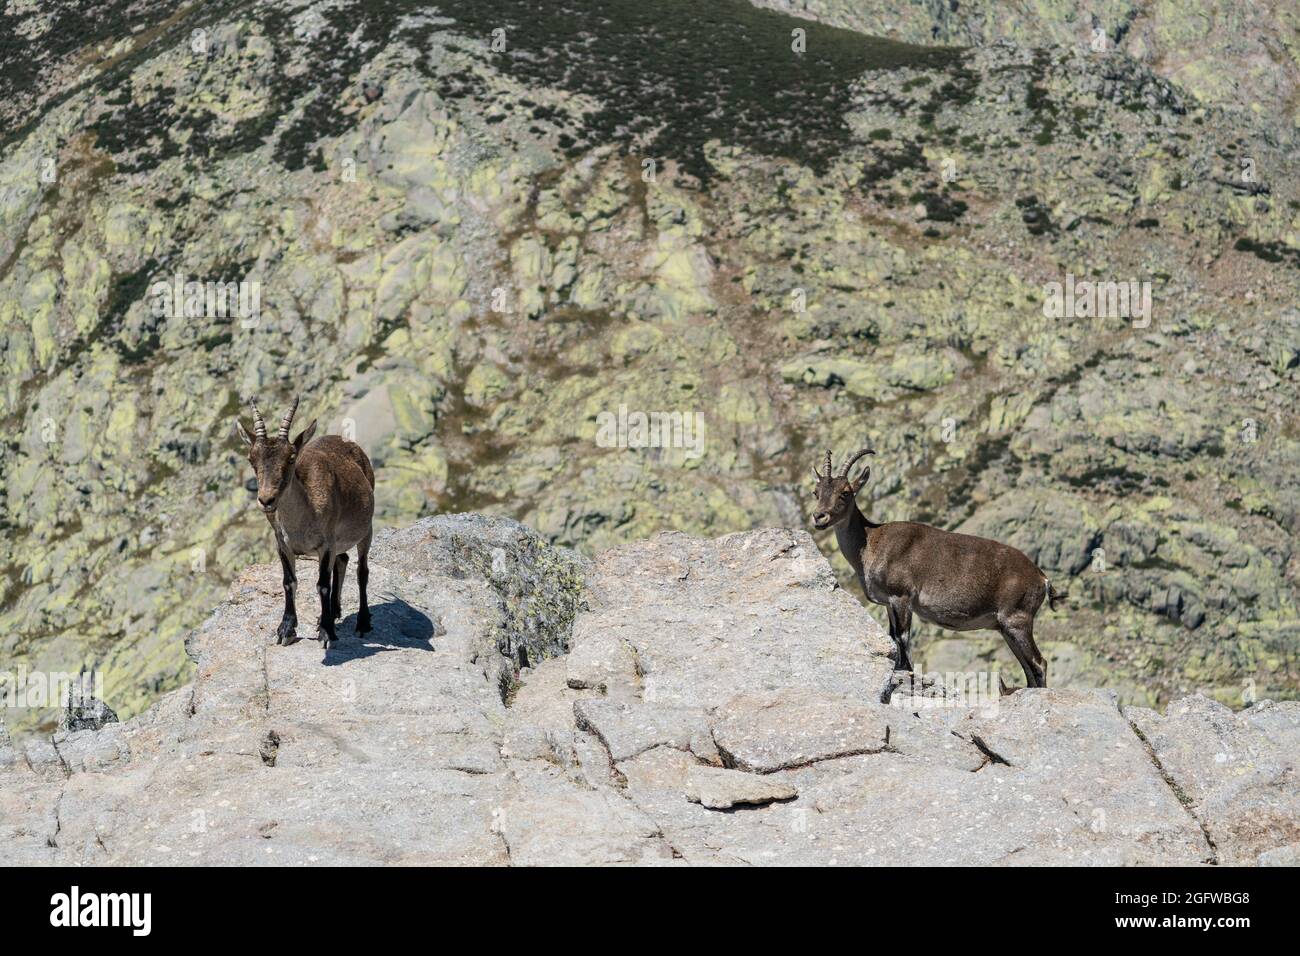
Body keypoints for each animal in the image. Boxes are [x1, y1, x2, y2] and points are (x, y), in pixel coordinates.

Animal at [235, 398, 376, 650]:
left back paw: (361, 622)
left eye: (291, 458)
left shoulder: (326, 544)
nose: (267, 500)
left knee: (362, 570)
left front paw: (327, 633)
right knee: (342, 560)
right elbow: (289, 582)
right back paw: (333, 612)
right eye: (252, 459)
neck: (300, 522)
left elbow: (322, 585)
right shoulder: (282, 544)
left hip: (365, 531)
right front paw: (286, 629)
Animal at [811, 448, 1062, 688]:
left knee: (1039, 663)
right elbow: (893, 636)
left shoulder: (901, 596)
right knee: (1028, 668)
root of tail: (1042, 578)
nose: (819, 516)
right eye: (816, 492)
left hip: (1017, 620)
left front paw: (905, 672)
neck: (871, 541)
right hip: (1005, 628)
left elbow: (902, 637)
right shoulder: (889, 603)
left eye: (845, 492)